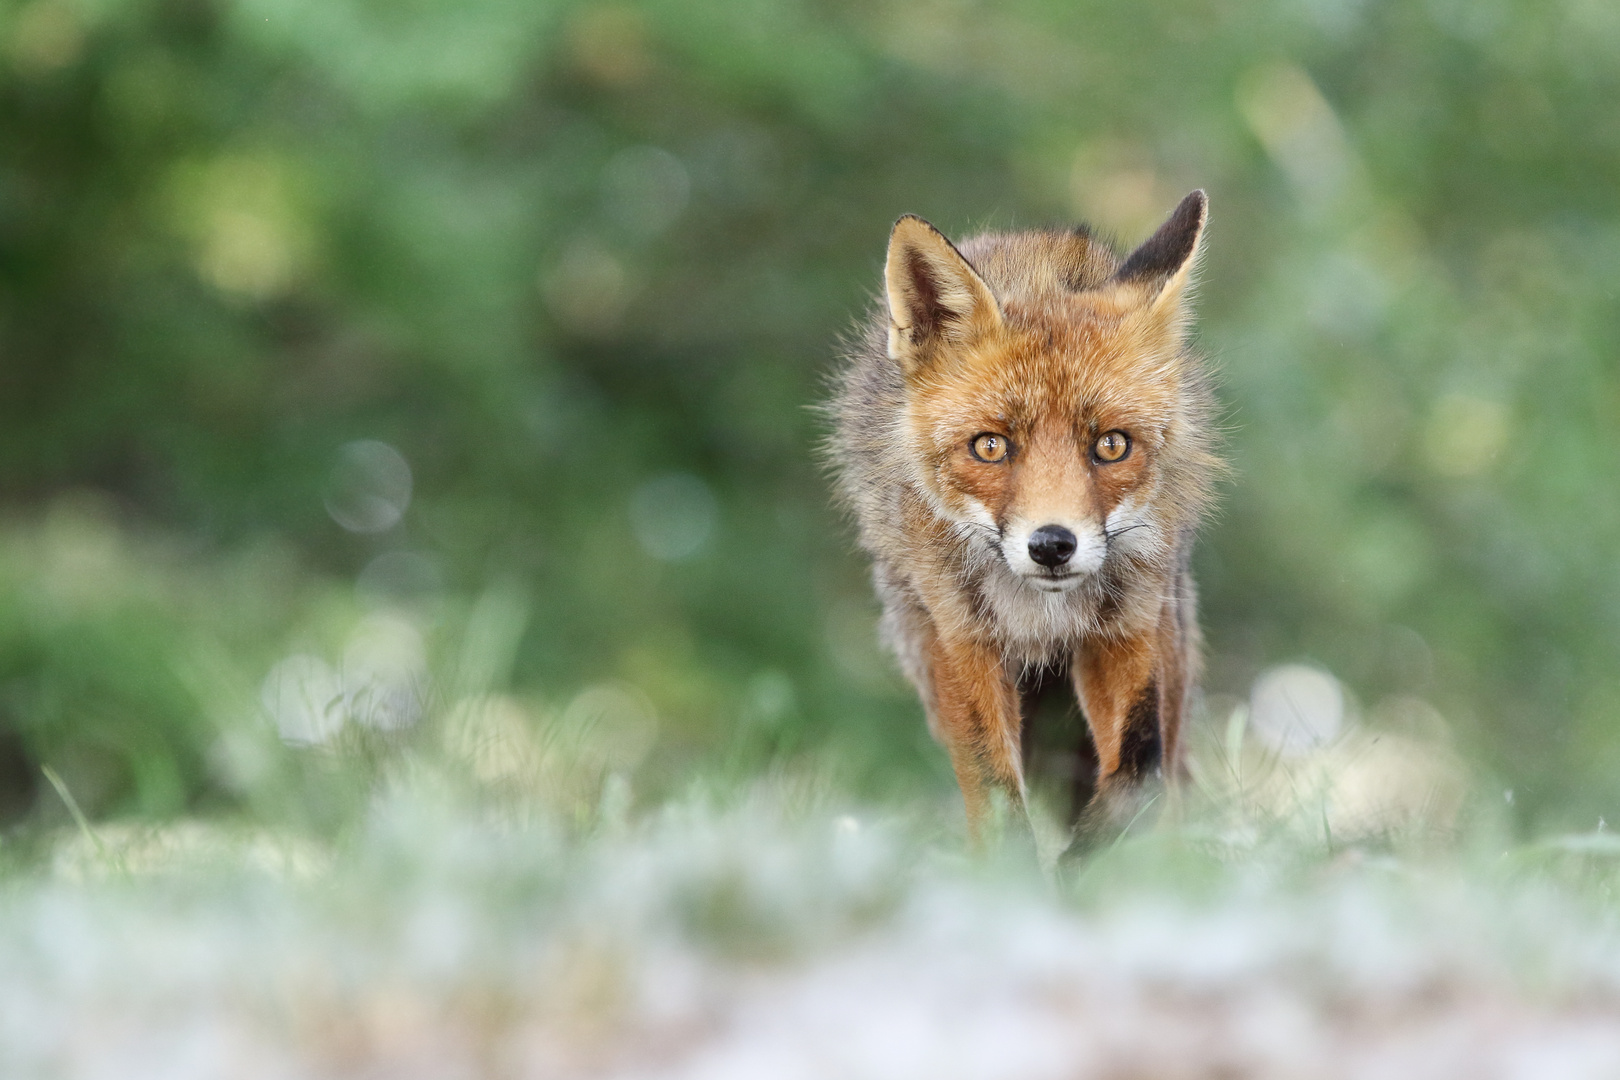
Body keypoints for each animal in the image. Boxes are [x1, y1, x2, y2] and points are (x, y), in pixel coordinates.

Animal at [828, 191, 1220, 849]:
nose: (1053, 545)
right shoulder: (961, 641)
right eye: (991, 446)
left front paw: (1088, 861)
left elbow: (1139, 769)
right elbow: (996, 795)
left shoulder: (1129, 629)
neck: (1042, 617)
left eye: (1112, 445)